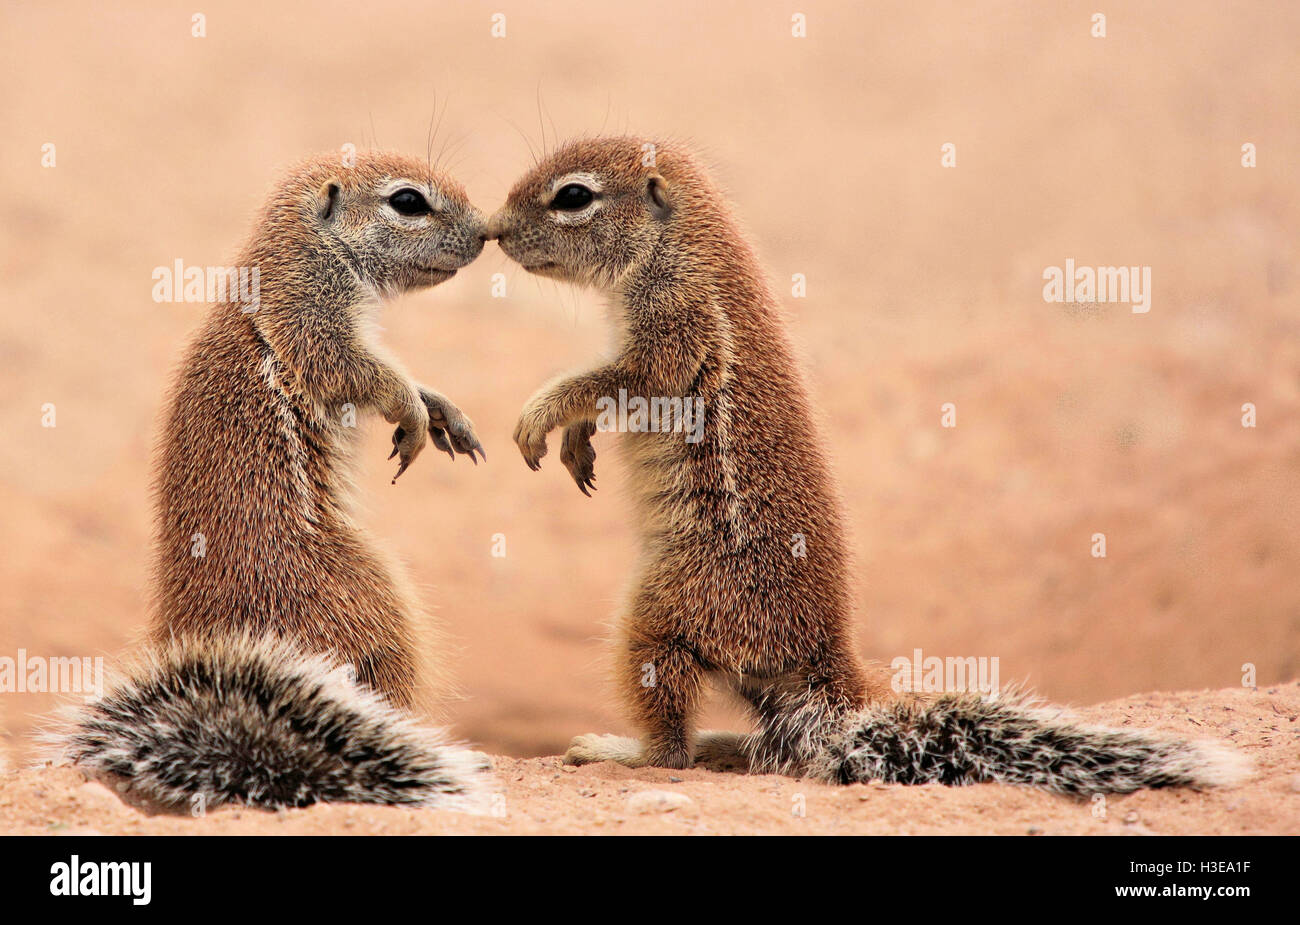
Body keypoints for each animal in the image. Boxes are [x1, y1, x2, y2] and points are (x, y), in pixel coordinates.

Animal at [55, 152, 493, 810]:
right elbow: (366, 373)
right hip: (380, 599)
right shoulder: (313, 321)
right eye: (408, 201)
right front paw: (415, 412)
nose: (487, 232)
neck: (299, 249)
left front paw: (443, 411)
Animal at [488, 136, 1246, 796]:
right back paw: (726, 745)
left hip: (658, 612)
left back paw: (619, 748)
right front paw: (575, 439)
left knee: (671, 744)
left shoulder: (676, 329)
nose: (493, 229)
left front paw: (541, 415)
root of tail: (829, 667)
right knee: (768, 743)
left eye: (574, 195)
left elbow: (613, 377)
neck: (677, 243)